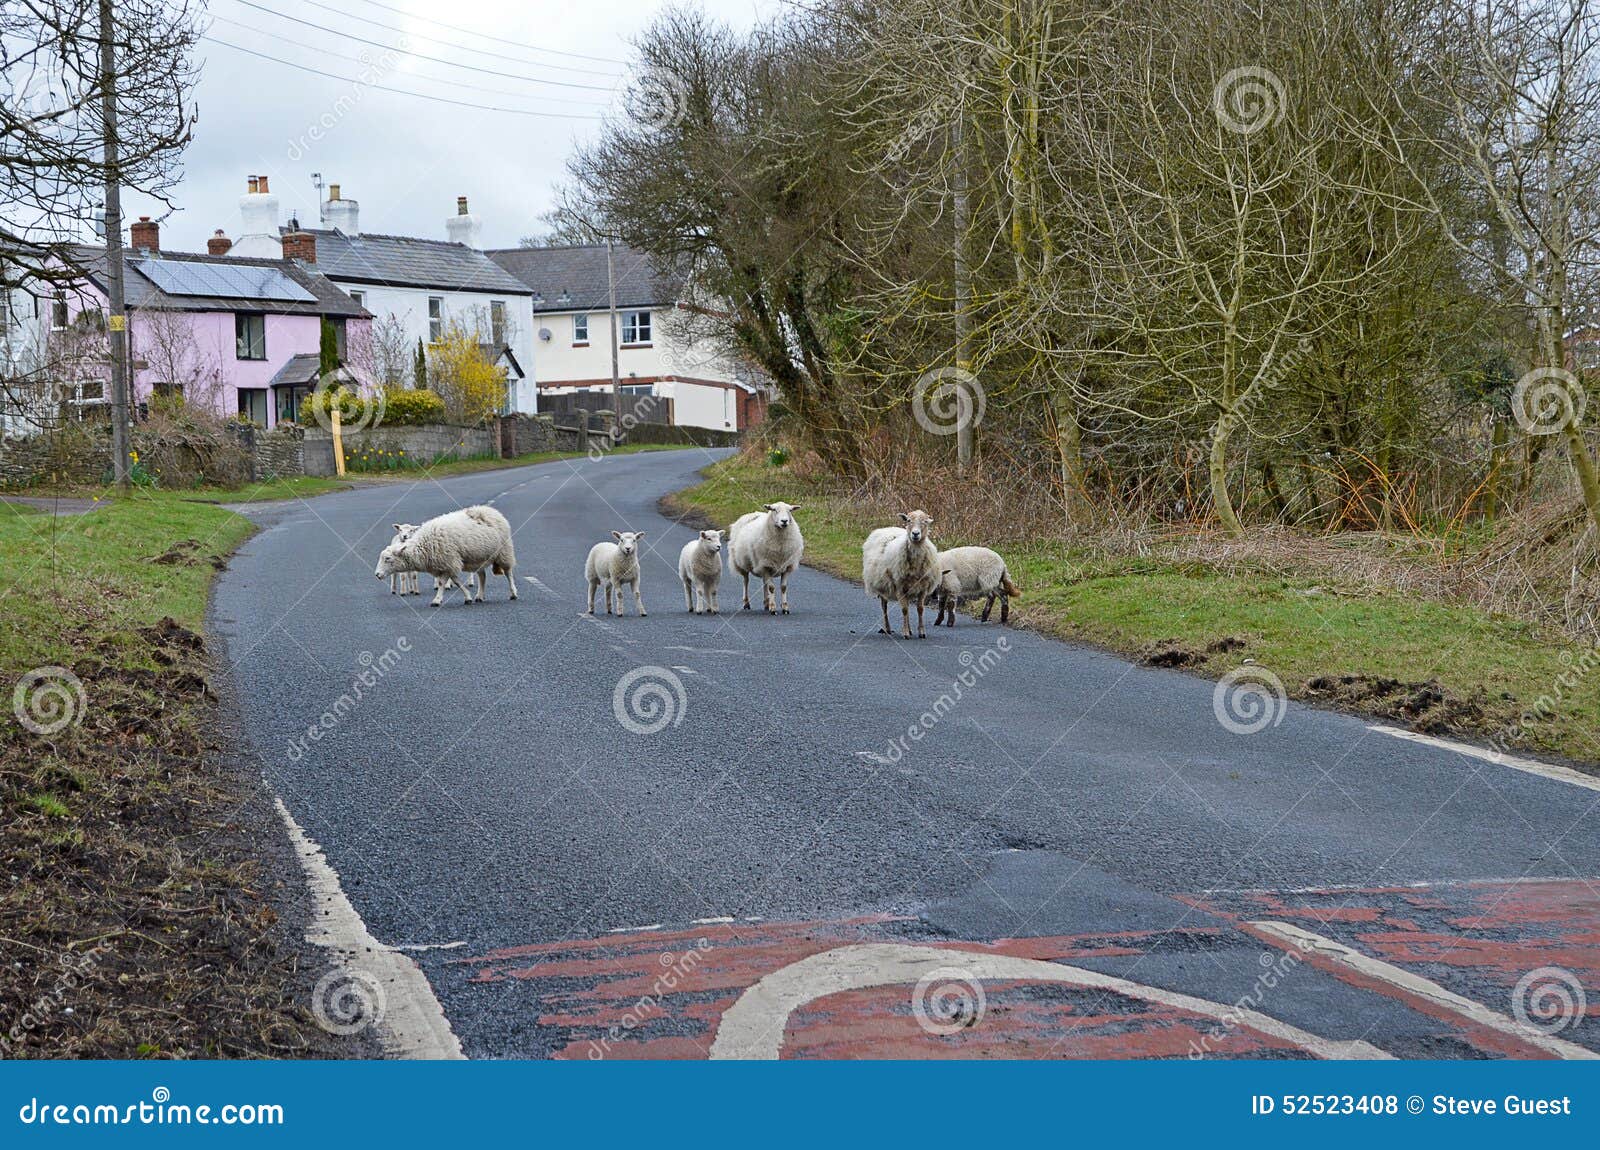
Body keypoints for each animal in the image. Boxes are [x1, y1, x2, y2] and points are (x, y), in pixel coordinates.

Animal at [373, 505, 518, 607]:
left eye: (387, 559)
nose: (377, 574)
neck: (423, 544)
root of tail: (491, 510)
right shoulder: (448, 564)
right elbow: (456, 581)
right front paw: (468, 597)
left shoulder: (449, 561)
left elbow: (443, 582)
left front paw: (437, 600)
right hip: (479, 557)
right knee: (482, 576)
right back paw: (480, 596)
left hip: (504, 551)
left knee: (508, 573)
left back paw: (513, 594)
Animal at [862, 510, 940, 639]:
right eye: (908, 520)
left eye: (925, 522)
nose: (915, 534)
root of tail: (887, 528)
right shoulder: (899, 585)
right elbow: (904, 609)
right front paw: (905, 632)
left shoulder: (923, 587)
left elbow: (920, 609)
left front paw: (921, 632)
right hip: (883, 583)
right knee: (884, 606)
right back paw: (888, 629)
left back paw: (910, 629)